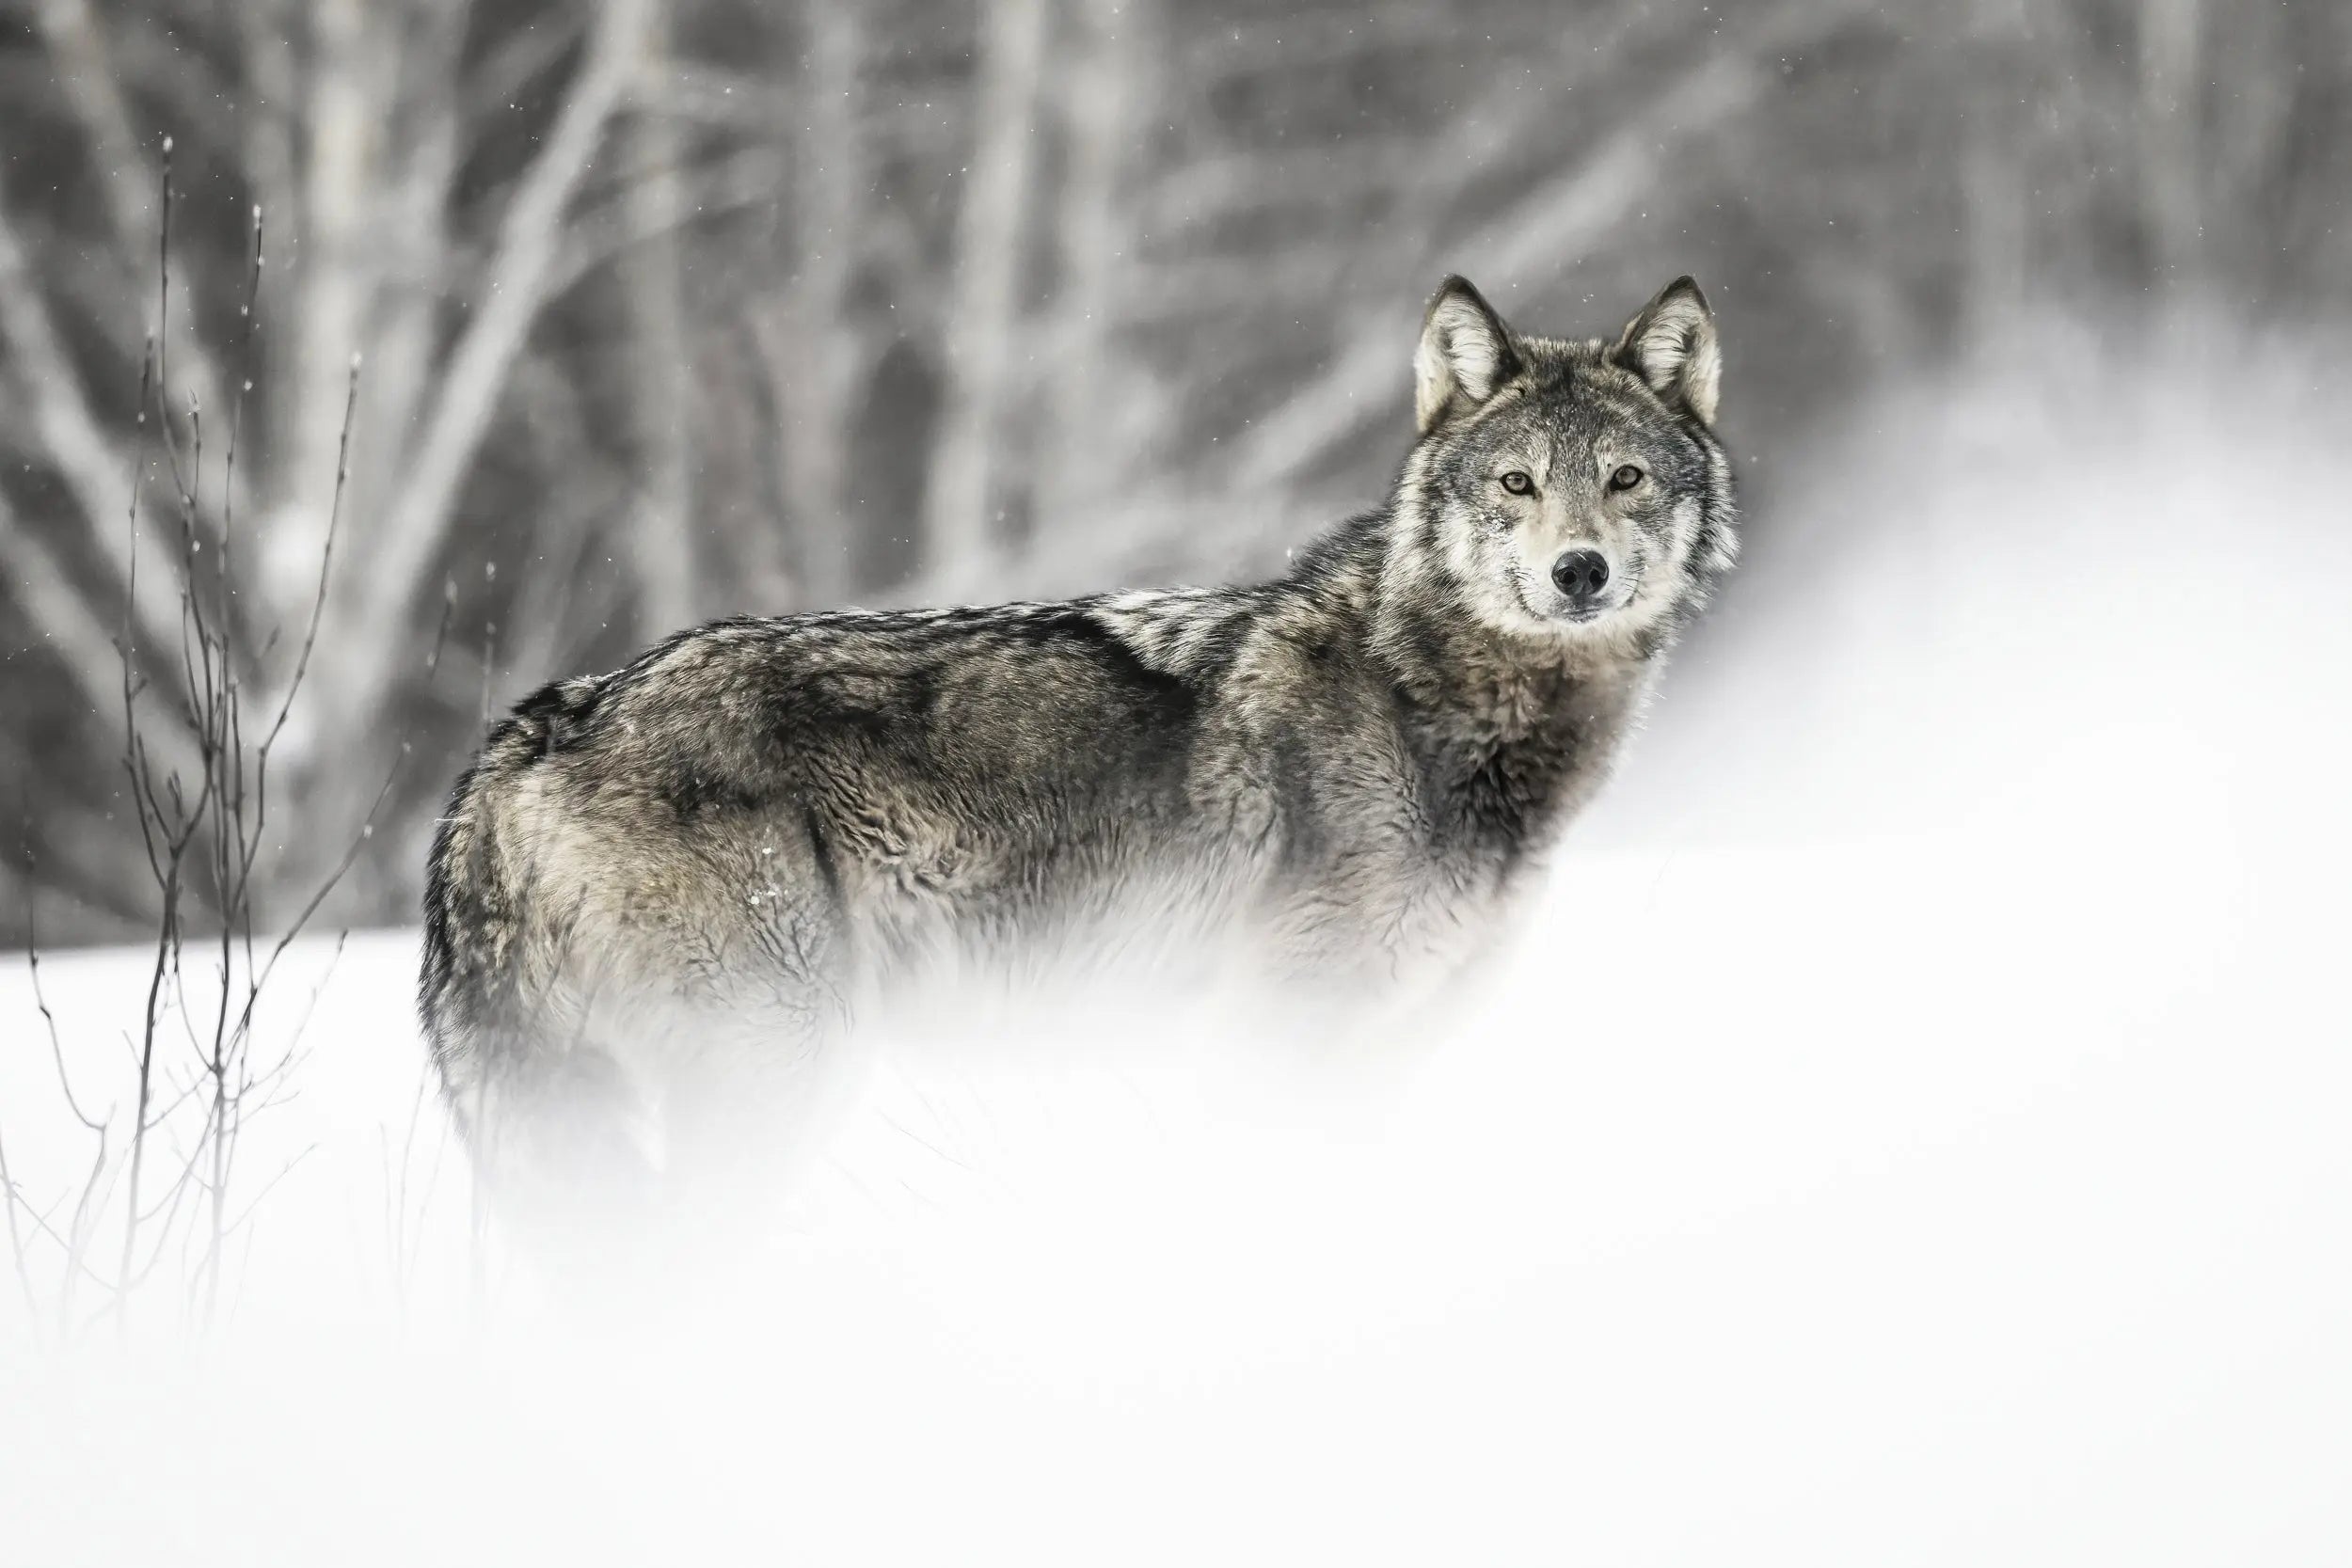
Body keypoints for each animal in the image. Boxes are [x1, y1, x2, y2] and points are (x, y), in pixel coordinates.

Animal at [419, 275, 1737, 1240]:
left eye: (1624, 478)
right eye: (1517, 482)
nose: (1579, 571)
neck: (1436, 704)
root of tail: (534, 728)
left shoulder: (1382, 1057)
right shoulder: (1274, 1044)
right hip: (781, 1068)